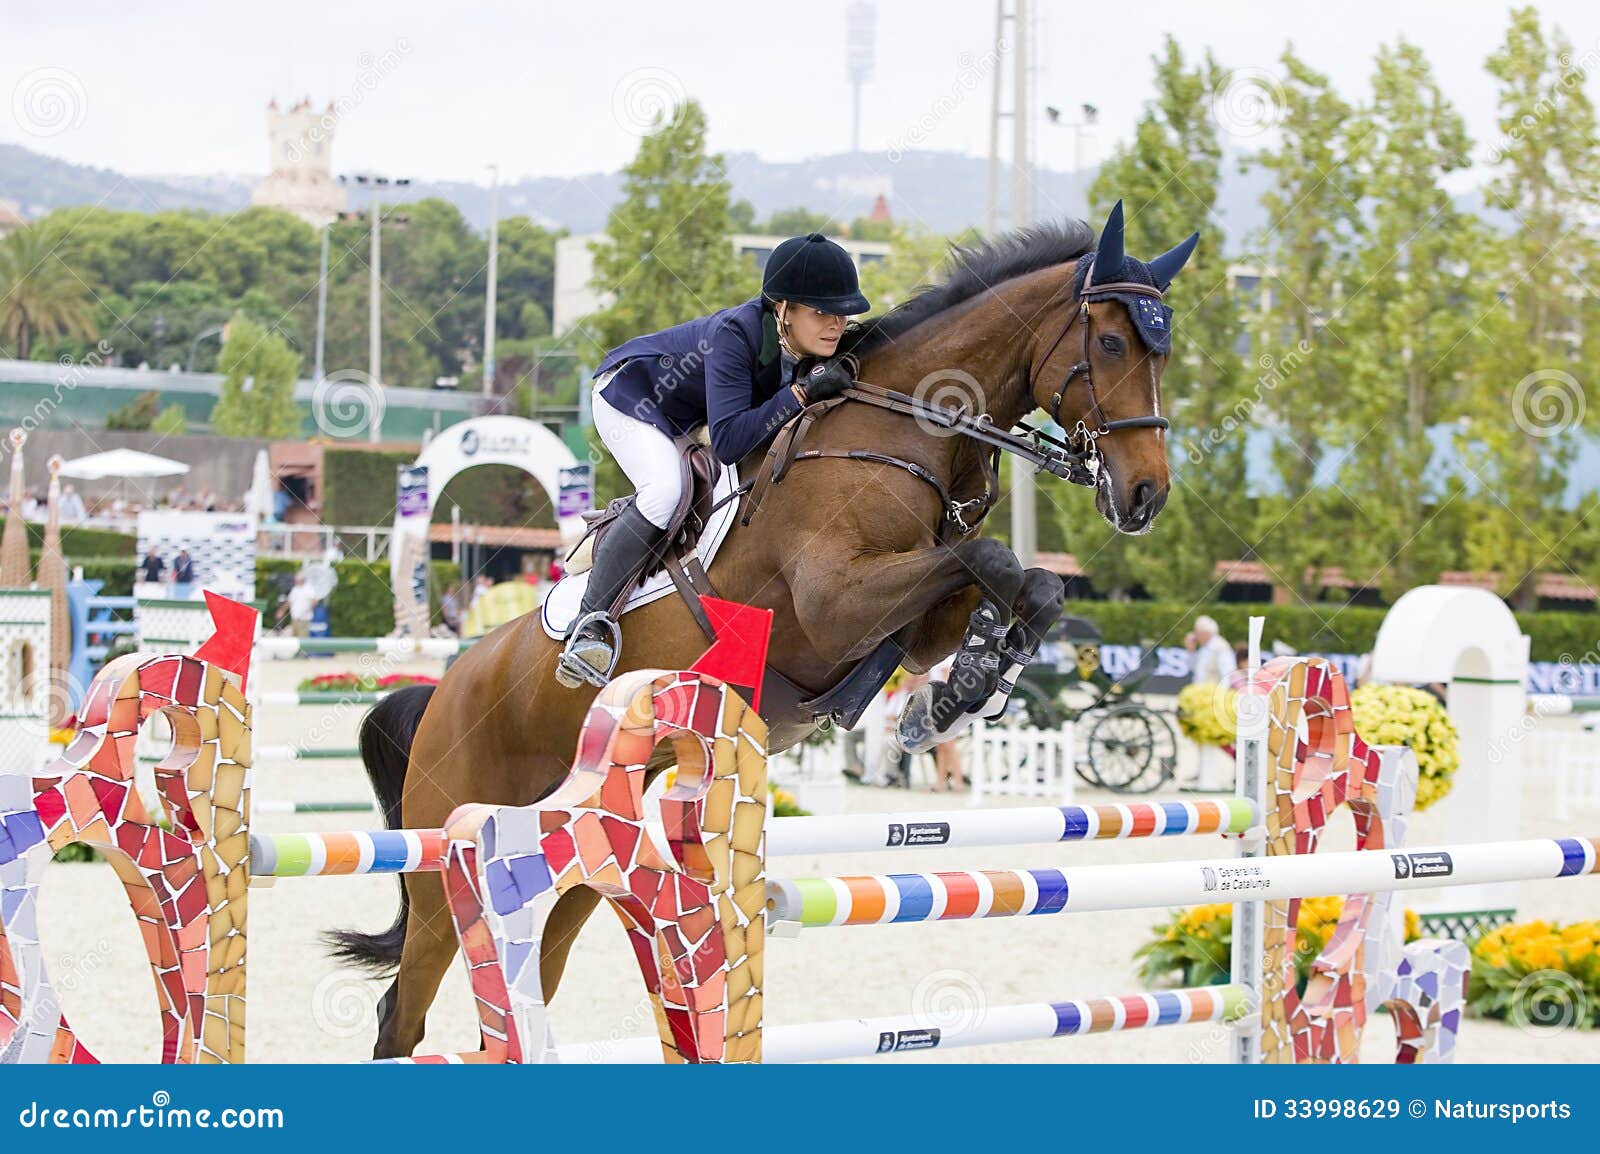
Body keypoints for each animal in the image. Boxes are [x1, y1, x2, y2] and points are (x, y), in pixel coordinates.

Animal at [335, 205, 1198, 1059]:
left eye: (1164, 348)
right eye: (1112, 343)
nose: (1146, 495)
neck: (904, 432)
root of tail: (445, 687)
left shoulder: (909, 622)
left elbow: (1026, 582)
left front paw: (964, 691)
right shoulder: (836, 602)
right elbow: (992, 558)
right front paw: (964, 690)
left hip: (582, 854)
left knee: (528, 987)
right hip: (442, 866)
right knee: (402, 1012)